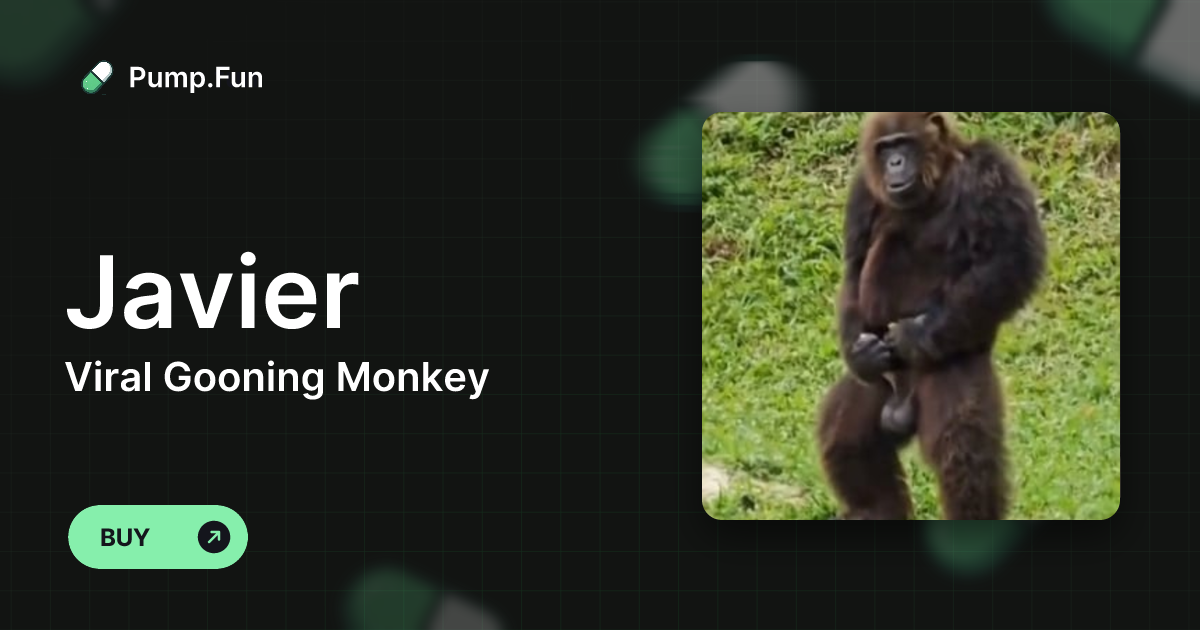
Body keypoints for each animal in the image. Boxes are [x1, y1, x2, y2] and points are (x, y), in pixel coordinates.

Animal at [816, 112, 1046, 520]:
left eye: (904, 144)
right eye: (884, 148)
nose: (895, 163)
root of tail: (901, 405)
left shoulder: (992, 170)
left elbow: (1010, 257)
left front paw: (916, 334)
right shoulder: (862, 190)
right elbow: (855, 267)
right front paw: (861, 355)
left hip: (952, 373)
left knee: (963, 450)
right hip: (879, 388)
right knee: (847, 439)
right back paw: (873, 508)